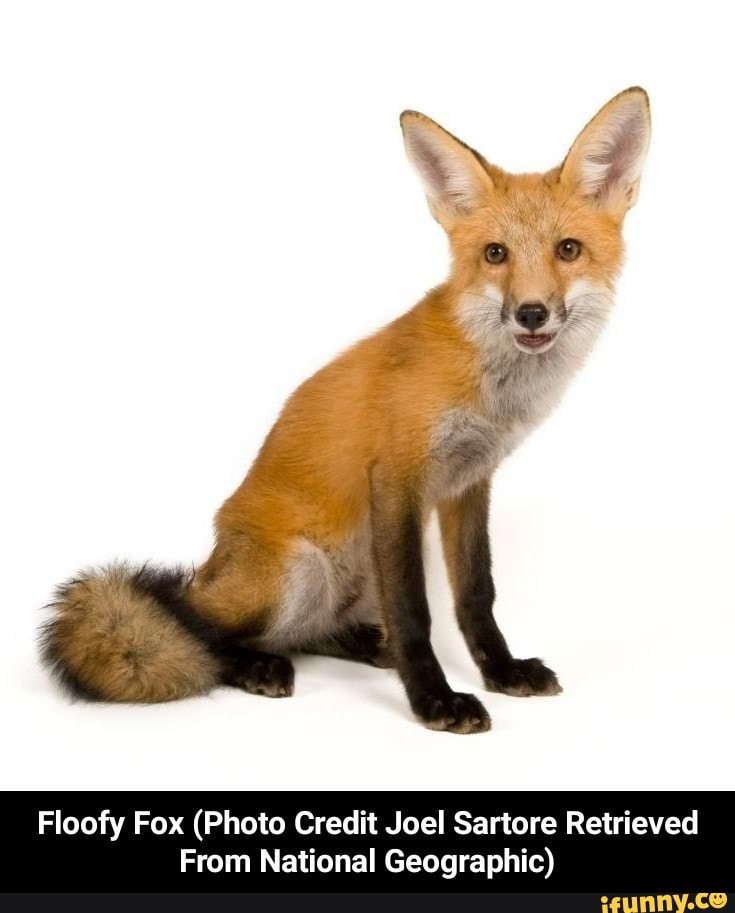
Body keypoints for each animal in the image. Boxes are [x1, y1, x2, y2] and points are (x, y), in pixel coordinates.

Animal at [40, 88, 651, 733]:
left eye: (568, 250)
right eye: (495, 254)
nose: (531, 313)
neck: (489, 383)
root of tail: (210, 568)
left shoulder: (468, 483)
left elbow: (475, 594)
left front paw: (502, 671)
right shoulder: (397, 478)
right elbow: (415, 613)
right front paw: (435, 700)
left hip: (352, 574)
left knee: (306, 633)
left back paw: (358, 644)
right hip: (299, 569)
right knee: (198, 630)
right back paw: (252, 665)